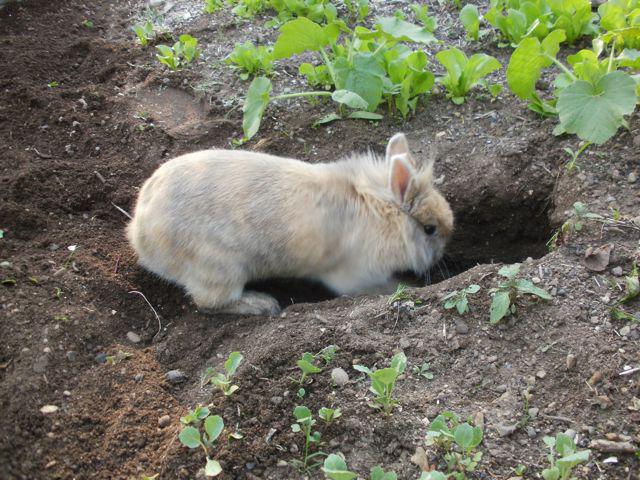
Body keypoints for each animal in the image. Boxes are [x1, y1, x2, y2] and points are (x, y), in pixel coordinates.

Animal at [127, 133, 452, 316]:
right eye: (430, 229)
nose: (441, 254)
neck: (380, 208)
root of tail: (139, 235)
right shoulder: (355, 277)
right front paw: (407, 286)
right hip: (219, 269)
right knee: (209, 303)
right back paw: (264, 304)